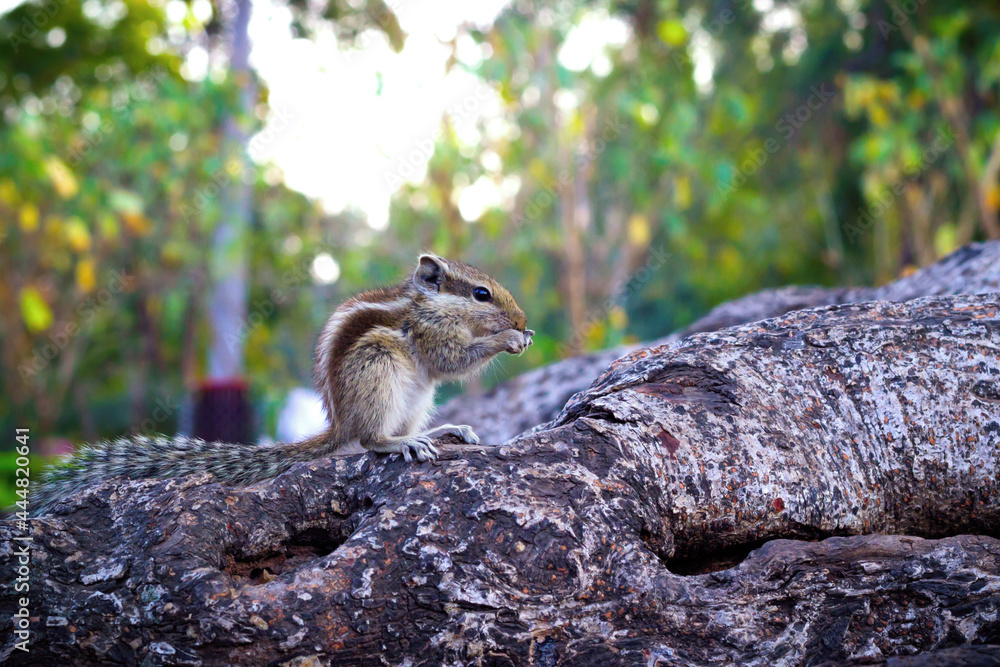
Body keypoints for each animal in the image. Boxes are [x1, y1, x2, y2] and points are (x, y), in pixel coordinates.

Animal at [33, 254, 533, 515]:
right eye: (481, 295)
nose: (523, 320)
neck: (429, 305)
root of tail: (339, 422)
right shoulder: (431, 335)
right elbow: (453, 359)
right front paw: (508, 339)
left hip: (418, 396)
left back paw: (442, 431)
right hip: (379, 370)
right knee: (370, 439)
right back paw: (403, 443)